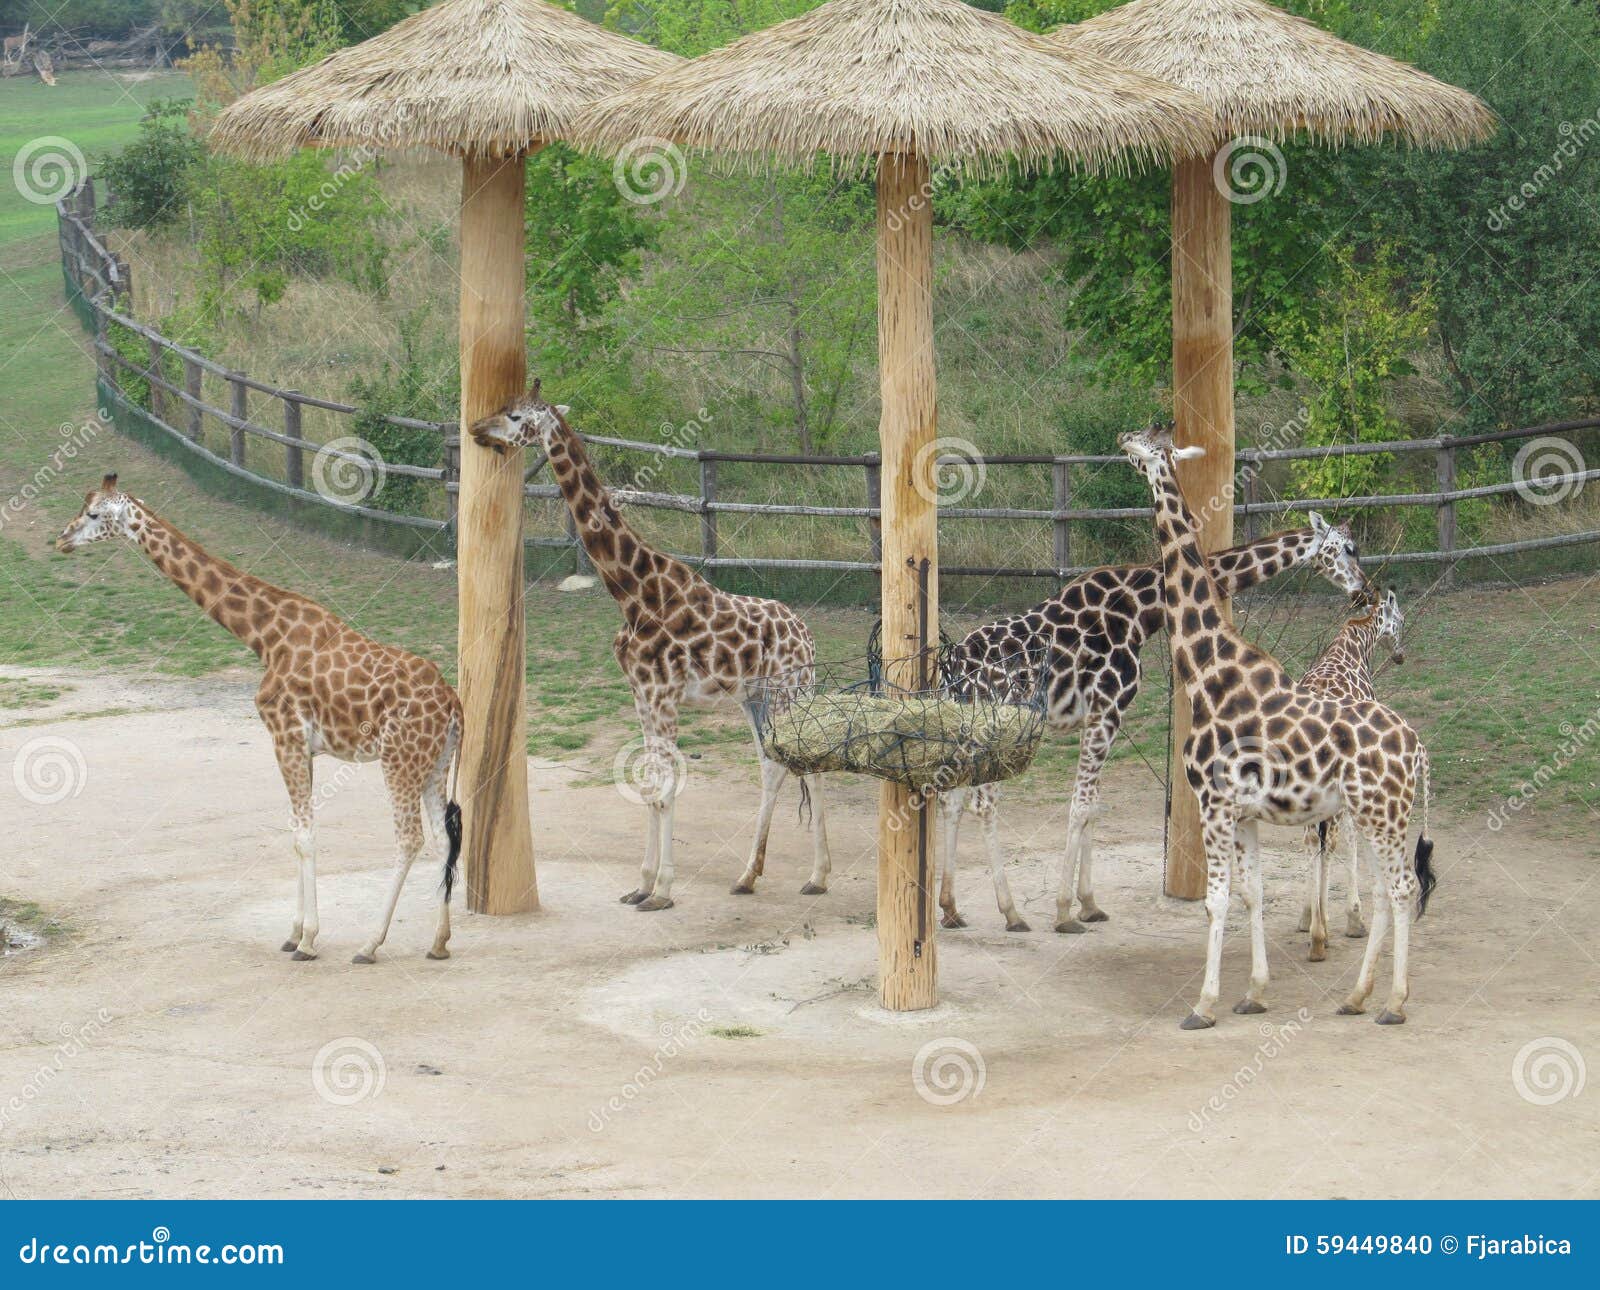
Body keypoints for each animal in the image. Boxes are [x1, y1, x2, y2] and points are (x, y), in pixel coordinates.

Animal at [56, 475, 460, 964]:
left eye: (94, 514)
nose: (60, 539)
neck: (265, 636)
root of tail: (454, 704)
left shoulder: (284, 736)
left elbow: (304, 835)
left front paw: (308, 940)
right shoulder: (304, 747)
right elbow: (295, 832)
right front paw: (293, 932)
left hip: (399, 761)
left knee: (409, 839)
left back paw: (369, 943)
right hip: (434, 763)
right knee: (442, 837)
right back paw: (438, 942)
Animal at [469, 381, 830, 910]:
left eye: (515, 416)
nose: (476, 428)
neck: (632, 593)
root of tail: (807, 635)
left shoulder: (663, 694)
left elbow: (665, 785)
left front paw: (661, 890)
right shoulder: (640, 693)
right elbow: (647, 784)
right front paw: (641, 884)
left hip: (791, 693)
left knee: (810, 762)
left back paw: (818, 877)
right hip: (756, 698)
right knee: (772, 764)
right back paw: (748, 876)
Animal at [938, 514, 1367, 933]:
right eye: (1349, 549)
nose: (1363, 589)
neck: (1143, 608)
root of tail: (952, 667)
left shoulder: (1099, 715)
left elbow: (1093, 805)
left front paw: (1089, 905)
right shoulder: (1108, 707)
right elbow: (1081, 805)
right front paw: (1063, 913)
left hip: (965, 733)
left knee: (953, 800)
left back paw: (951, 909)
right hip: (1001, 732)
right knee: (984, 804)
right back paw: (1011, 913)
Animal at [1296, 586, 1408, 959]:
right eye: (1401, 618)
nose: (1401, 654)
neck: (1355, 648)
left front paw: (1307, 916)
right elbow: (1350, 838)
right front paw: (1354, 918)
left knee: (1310, 840)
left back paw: (1314, 926)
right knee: (1327, 840)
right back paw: (1320, 937)